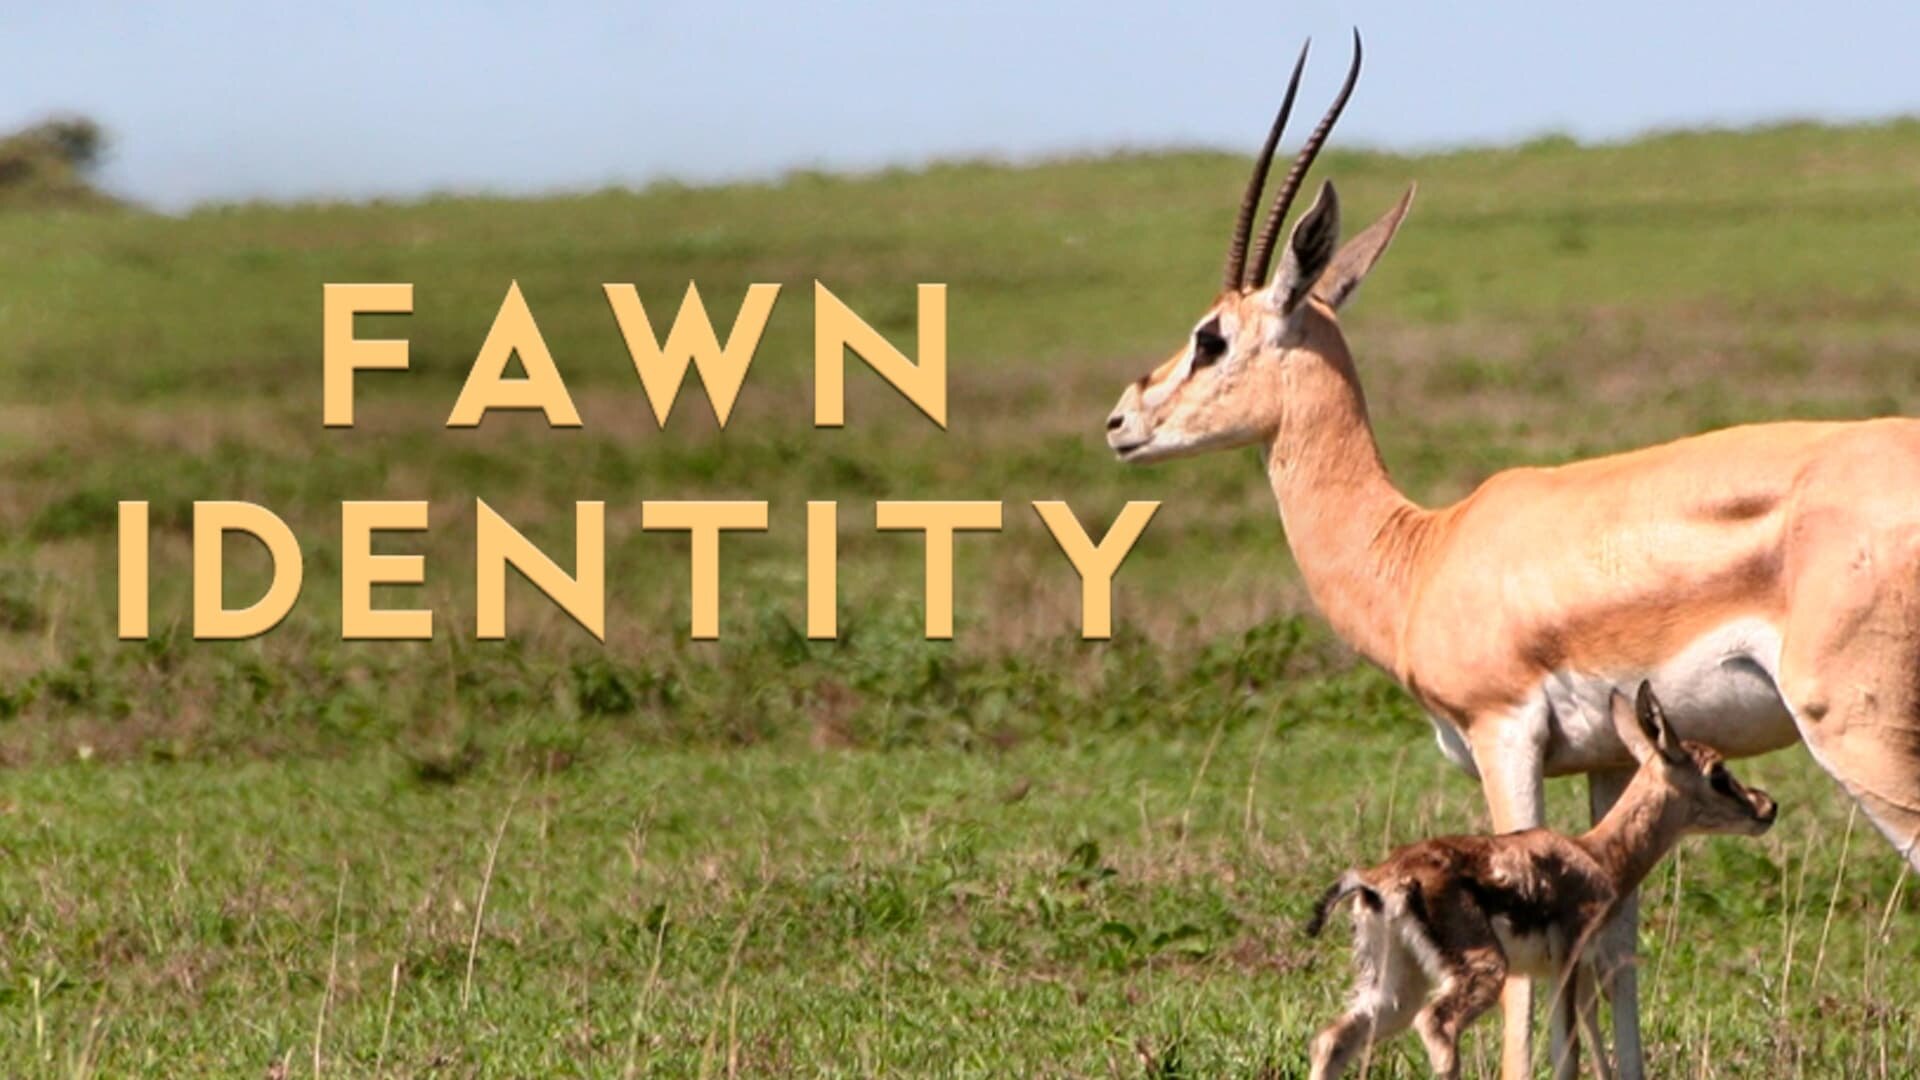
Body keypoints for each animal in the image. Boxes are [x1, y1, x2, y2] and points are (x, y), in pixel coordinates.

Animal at [1303, 682, 1777, 1079]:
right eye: (1717, 773)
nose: (1766, 807)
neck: (1597, 856)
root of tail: (1376, 881)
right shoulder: (1568, 960)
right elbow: (1567, 1056)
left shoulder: (1576, 971)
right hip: (1480, 972)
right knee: (1437, 1026)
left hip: (1397, 985)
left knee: (1332, 1039)